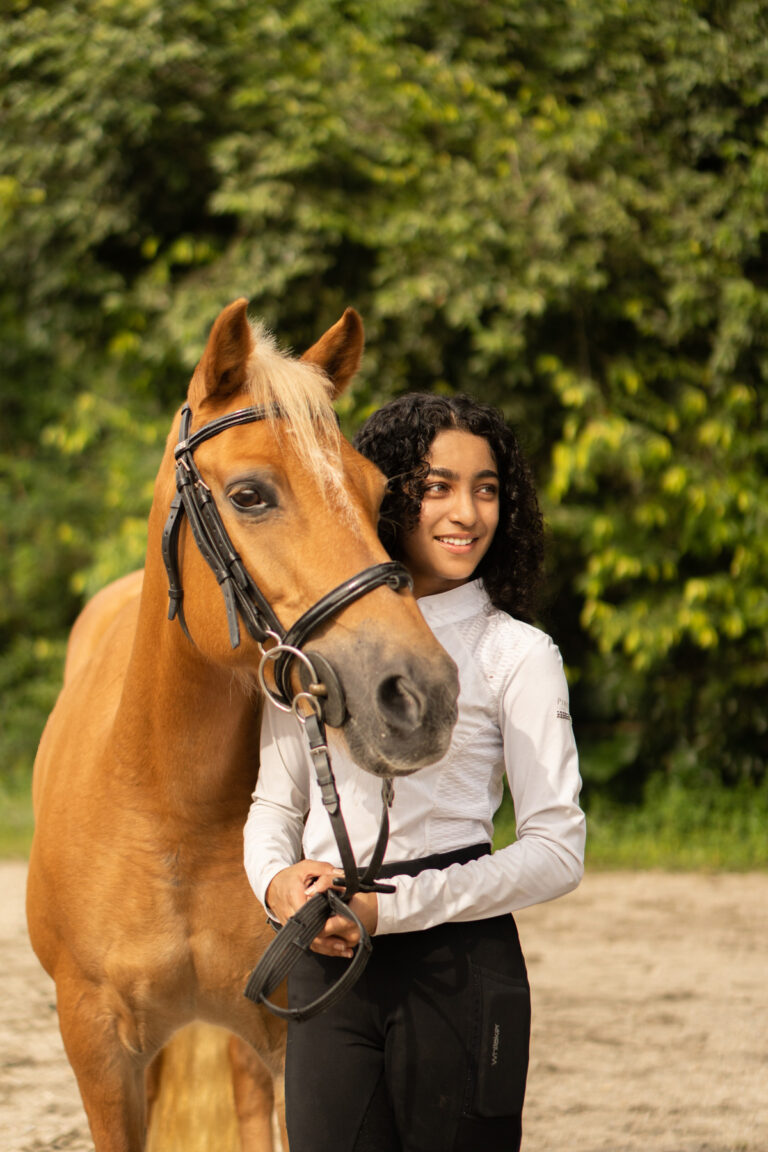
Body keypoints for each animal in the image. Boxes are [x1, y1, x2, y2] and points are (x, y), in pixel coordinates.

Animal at [27, 299, 459, 1152]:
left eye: (373, 493)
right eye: (252, 494)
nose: (420, 692)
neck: (171, 807)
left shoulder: (294, 1028)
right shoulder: (98, 1049)